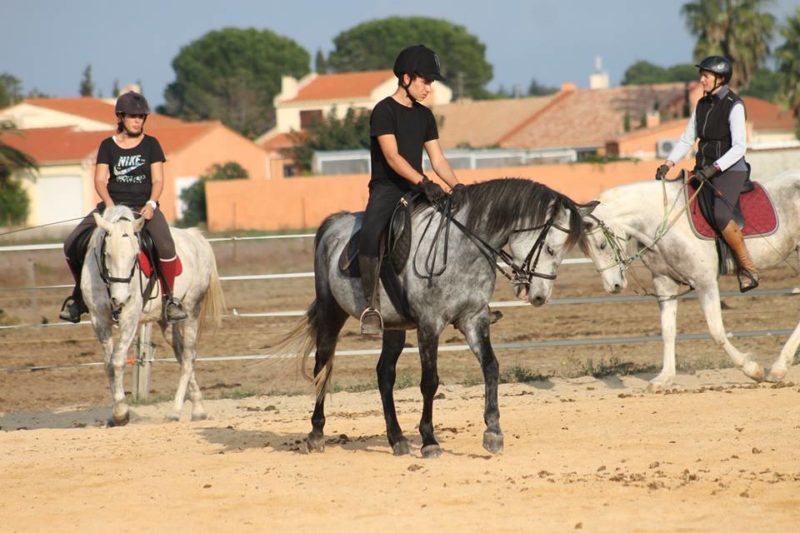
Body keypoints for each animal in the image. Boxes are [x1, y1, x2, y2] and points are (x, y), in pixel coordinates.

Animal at [82, 205, 225, 426]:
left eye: (135, 256)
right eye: (107, 254)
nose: (120, 299)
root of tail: (195, 237)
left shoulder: (130, 318)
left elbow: (117, 360)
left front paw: (121, 413)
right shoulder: (99, 319)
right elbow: (108, 364)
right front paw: (116, 413)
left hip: (192, 310)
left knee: (188, 356)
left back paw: (175, 411)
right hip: (166, 321)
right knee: (182, 354)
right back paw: (198, 409)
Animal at [272, 178, 594, 457]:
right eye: (550, 248)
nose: (540, 296)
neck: (462, 247)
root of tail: (335, 222)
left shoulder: (473, 319)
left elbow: (491, 367)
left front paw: (493, 432)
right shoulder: (429, 324)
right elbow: (430, 381)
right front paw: (429, 440)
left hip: (393, 325)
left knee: (384, 373)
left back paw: (397, 439)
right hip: (331, 311)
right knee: (322, 365)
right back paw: (316, 434)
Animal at [580, 170, 800, 390]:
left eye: (601, 245)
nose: (613, 286)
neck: (663, 221)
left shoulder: (705, 282)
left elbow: (716, 331)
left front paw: (752, 370)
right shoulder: (664, 283)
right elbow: (668, 331)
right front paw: (664, 378)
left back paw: (778, 368)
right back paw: (780, 368)